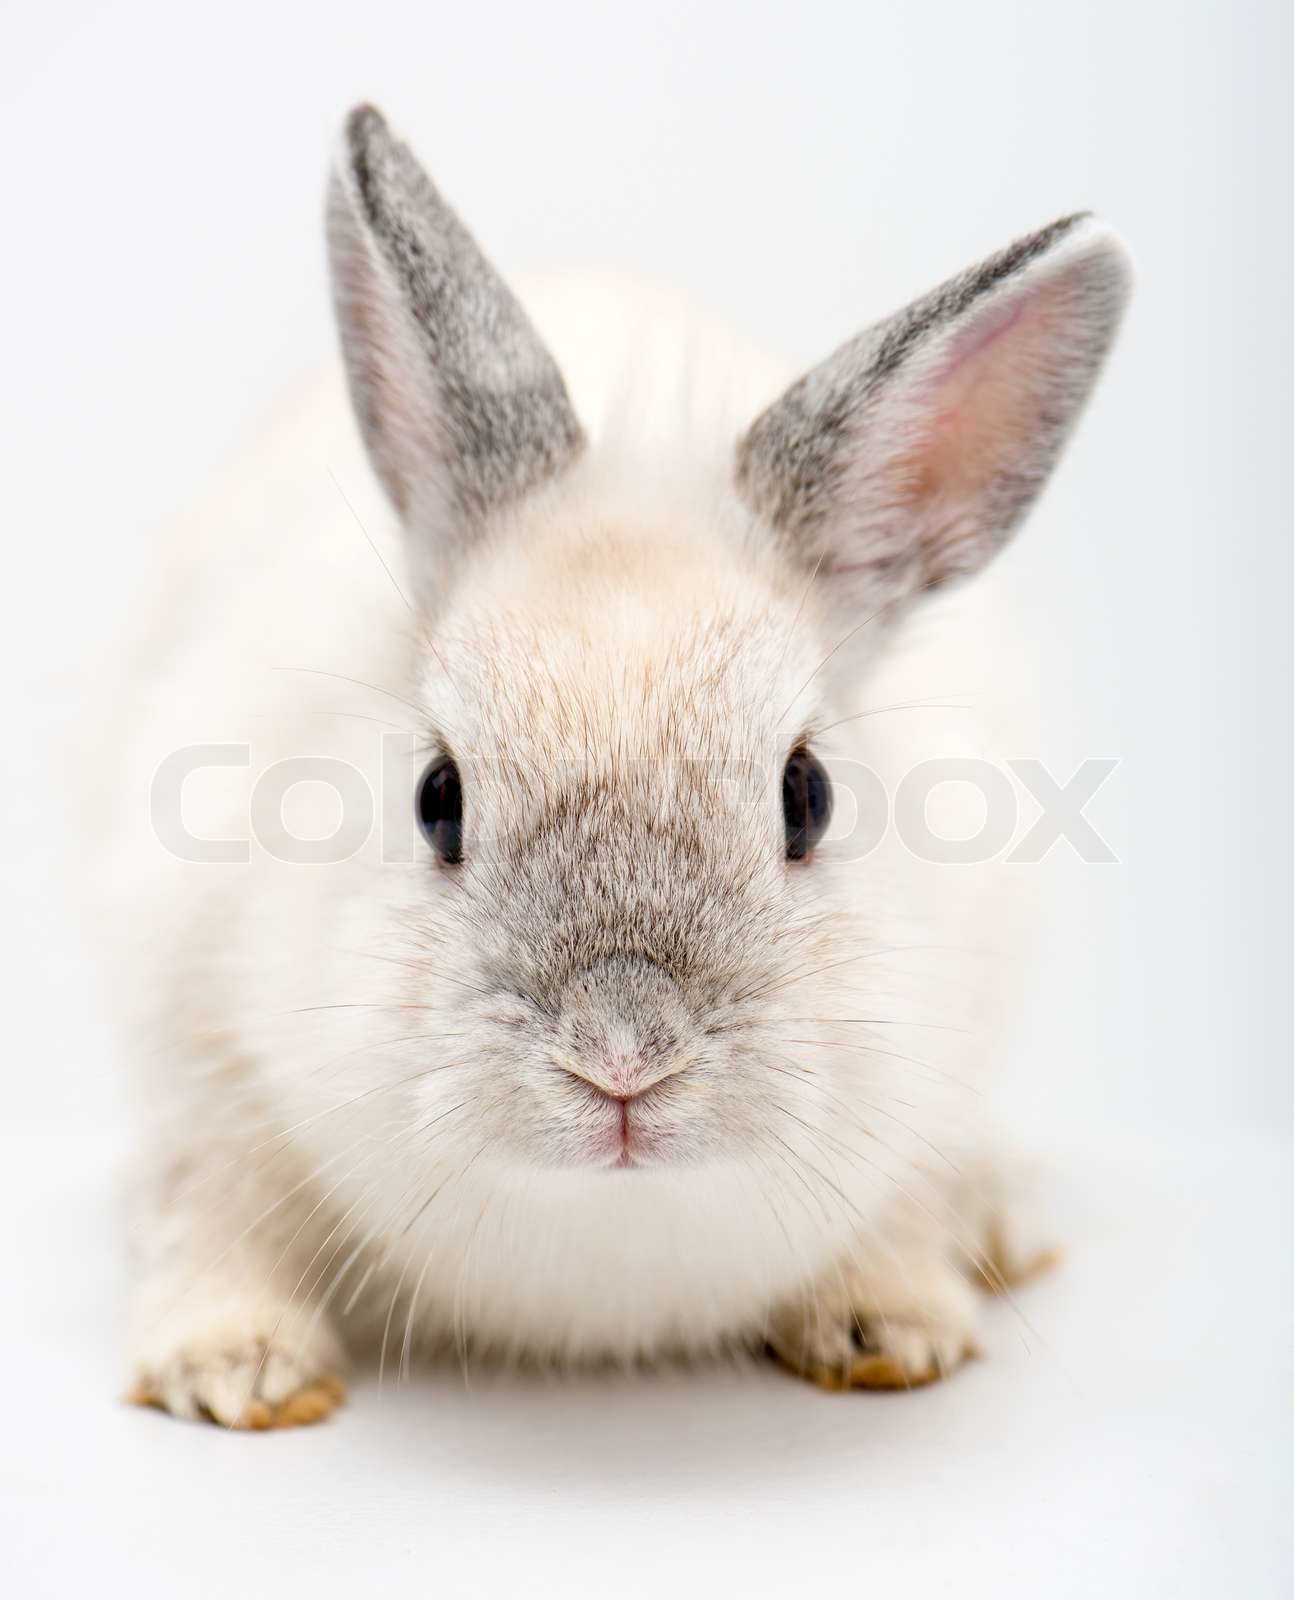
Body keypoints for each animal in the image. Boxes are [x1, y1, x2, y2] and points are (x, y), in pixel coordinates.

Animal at [105, 103, 1131, 1428]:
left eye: (808, 795)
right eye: (437, 798)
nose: (622, 1058)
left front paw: (892, 1324)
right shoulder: (199, 1046)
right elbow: (210, 1207)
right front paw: (236, 1368)